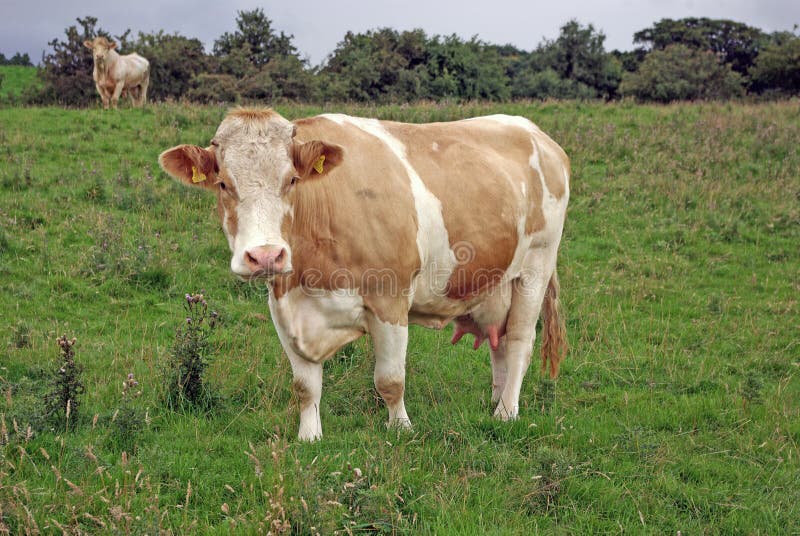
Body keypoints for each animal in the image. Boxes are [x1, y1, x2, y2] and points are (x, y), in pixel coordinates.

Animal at [159, 108, 570, 441]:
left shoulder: (390, 299)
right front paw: (309, 436)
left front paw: (401, 429)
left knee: (519, 342)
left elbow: (390, 380)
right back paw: (496, 401)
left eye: (291, 180)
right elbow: (304, 385)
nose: (265, 256)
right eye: (223, 184)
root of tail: (537, 132)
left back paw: (506, 412)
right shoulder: (283, 306)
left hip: (536, 266)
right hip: (495, 282)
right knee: (499, 345)